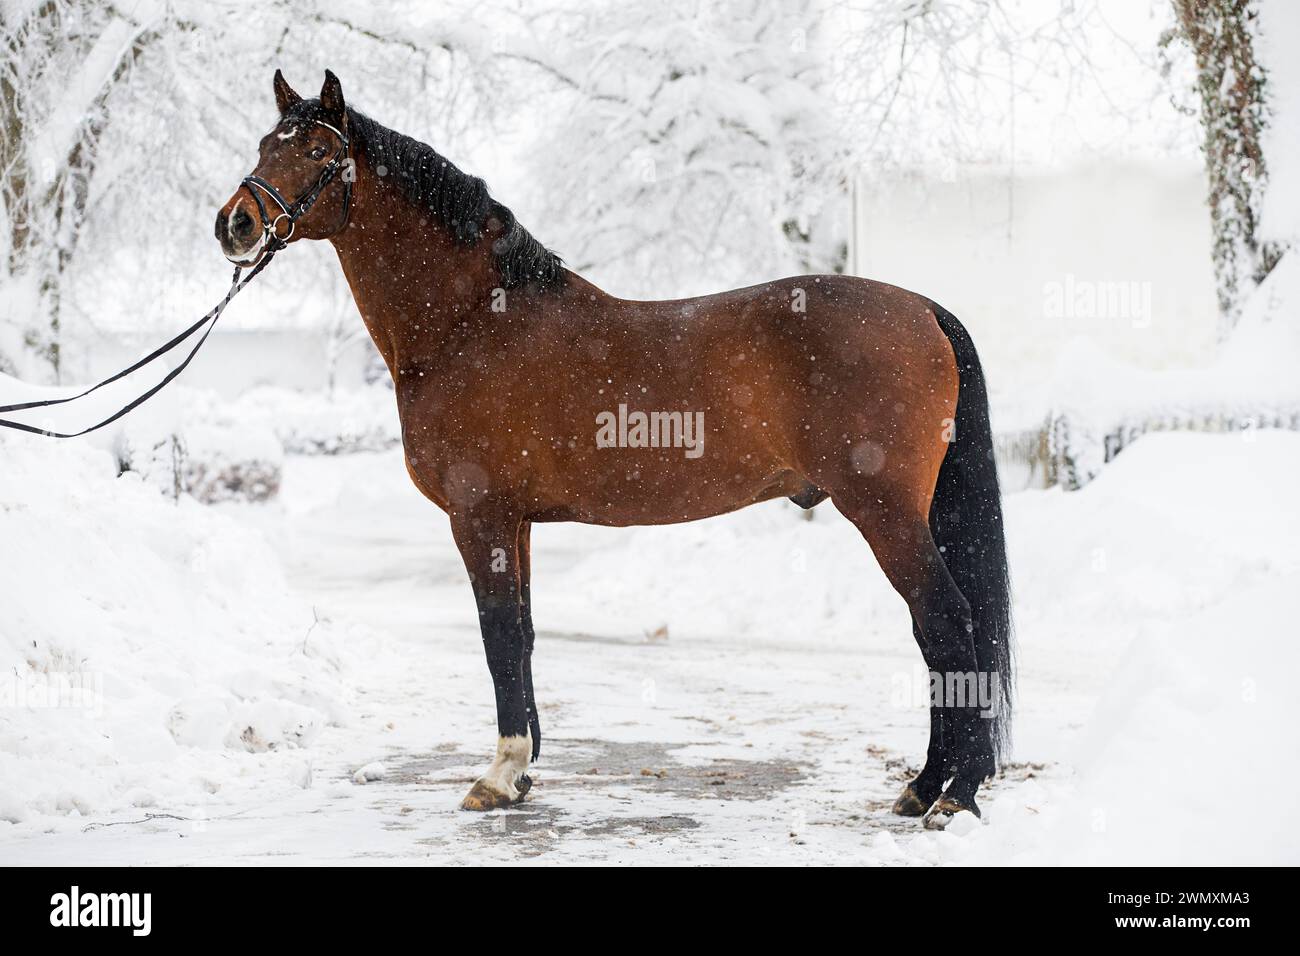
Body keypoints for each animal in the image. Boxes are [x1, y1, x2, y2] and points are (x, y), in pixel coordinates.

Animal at [216, 71, 1013, 828]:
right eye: (264, 144)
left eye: (317, 152)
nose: (235, 223)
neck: (472, 324)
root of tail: (921, 309)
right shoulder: (516, 522)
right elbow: (524, 636)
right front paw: (524, 774)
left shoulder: (479, 516)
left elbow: (498, 636)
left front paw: (498, 776)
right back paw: (926, 788)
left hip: (885, 512)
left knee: (948, 624)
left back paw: (950, 794)